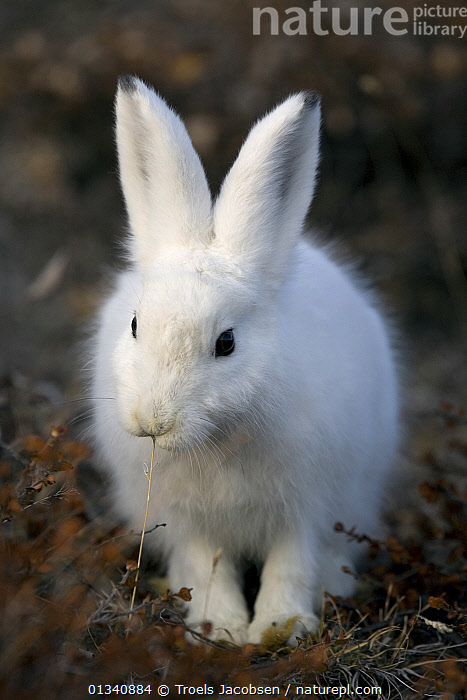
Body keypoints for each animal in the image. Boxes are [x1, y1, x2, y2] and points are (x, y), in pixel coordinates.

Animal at [90, 76, 399, 646]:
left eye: (227, 342)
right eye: (136, 324)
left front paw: (282, 627)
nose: (152, 421)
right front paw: (220, 629)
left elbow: (290, 563)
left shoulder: (307, 505)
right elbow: (205, 564)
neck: (217, 437)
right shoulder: (185, 517)